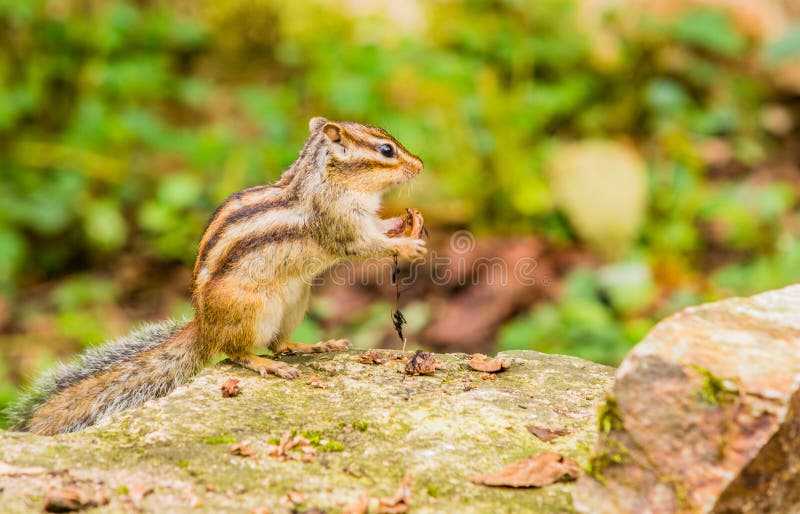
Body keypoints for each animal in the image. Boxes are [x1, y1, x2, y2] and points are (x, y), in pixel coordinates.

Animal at [8, 117, 427, 436]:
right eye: (386, 151)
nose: (421, 166)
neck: (324, 181)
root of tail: (204, 327)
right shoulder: (340, 226)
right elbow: (366, 245)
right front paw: (409, 245)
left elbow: (380, 229)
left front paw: (408, 221)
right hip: (253, 311)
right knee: (238, 352)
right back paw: (266, 364)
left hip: (295, 303)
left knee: (279, 343)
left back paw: (312, 346)